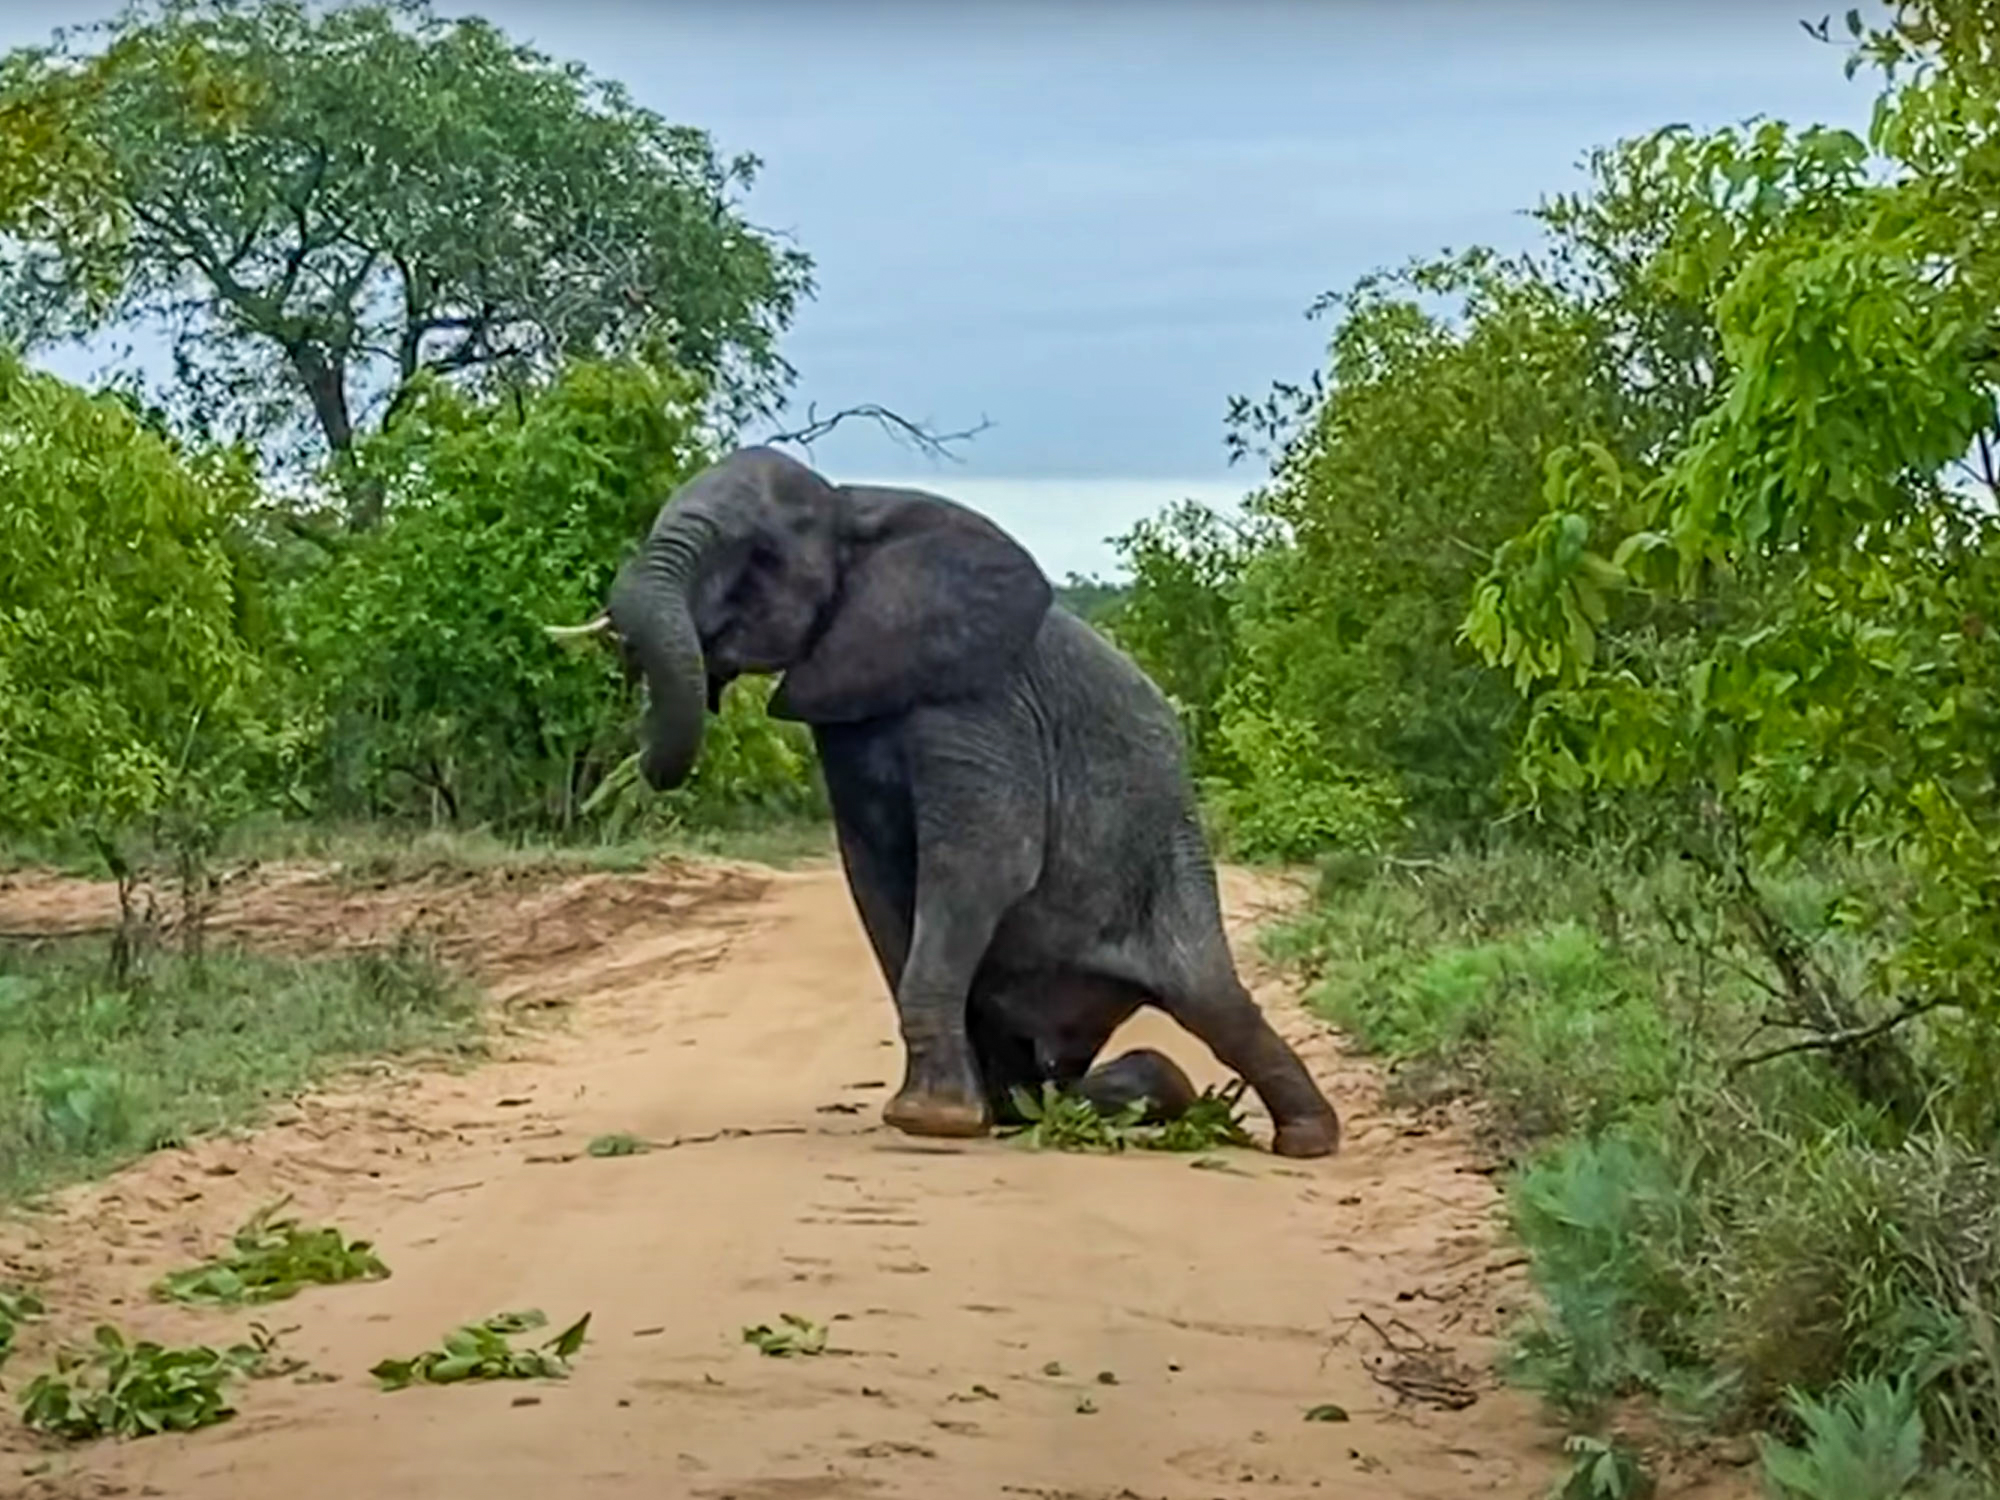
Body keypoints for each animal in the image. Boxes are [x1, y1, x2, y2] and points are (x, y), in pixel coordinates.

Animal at [560, 445, 1341, 1158]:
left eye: (760, 556)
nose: (641, 761)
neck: (853, 506)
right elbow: (879, 884)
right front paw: (962, 1113)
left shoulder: (981, 700)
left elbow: (983, 862)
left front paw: (930, 1121)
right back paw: (1045, 1107)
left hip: (1169, 856)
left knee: (1212, 1000)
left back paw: (1303, 1140)